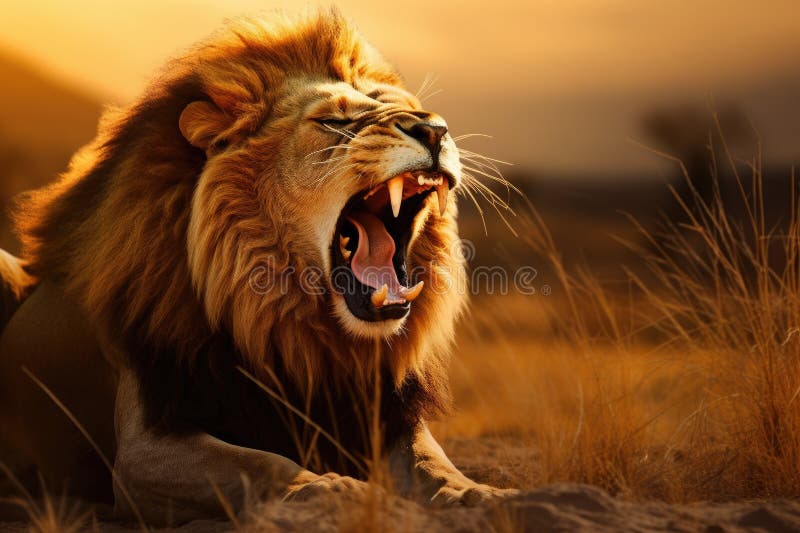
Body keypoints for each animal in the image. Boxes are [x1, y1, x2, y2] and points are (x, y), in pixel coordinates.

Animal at [0, 9, 516, 524]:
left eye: (412, 109)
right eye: (333, 122)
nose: (435, 129)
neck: (302, 336)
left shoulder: (387, 416)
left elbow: (435, 464)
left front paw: (479, 494)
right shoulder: (146, 444)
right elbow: (261, 465)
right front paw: (334, 488)